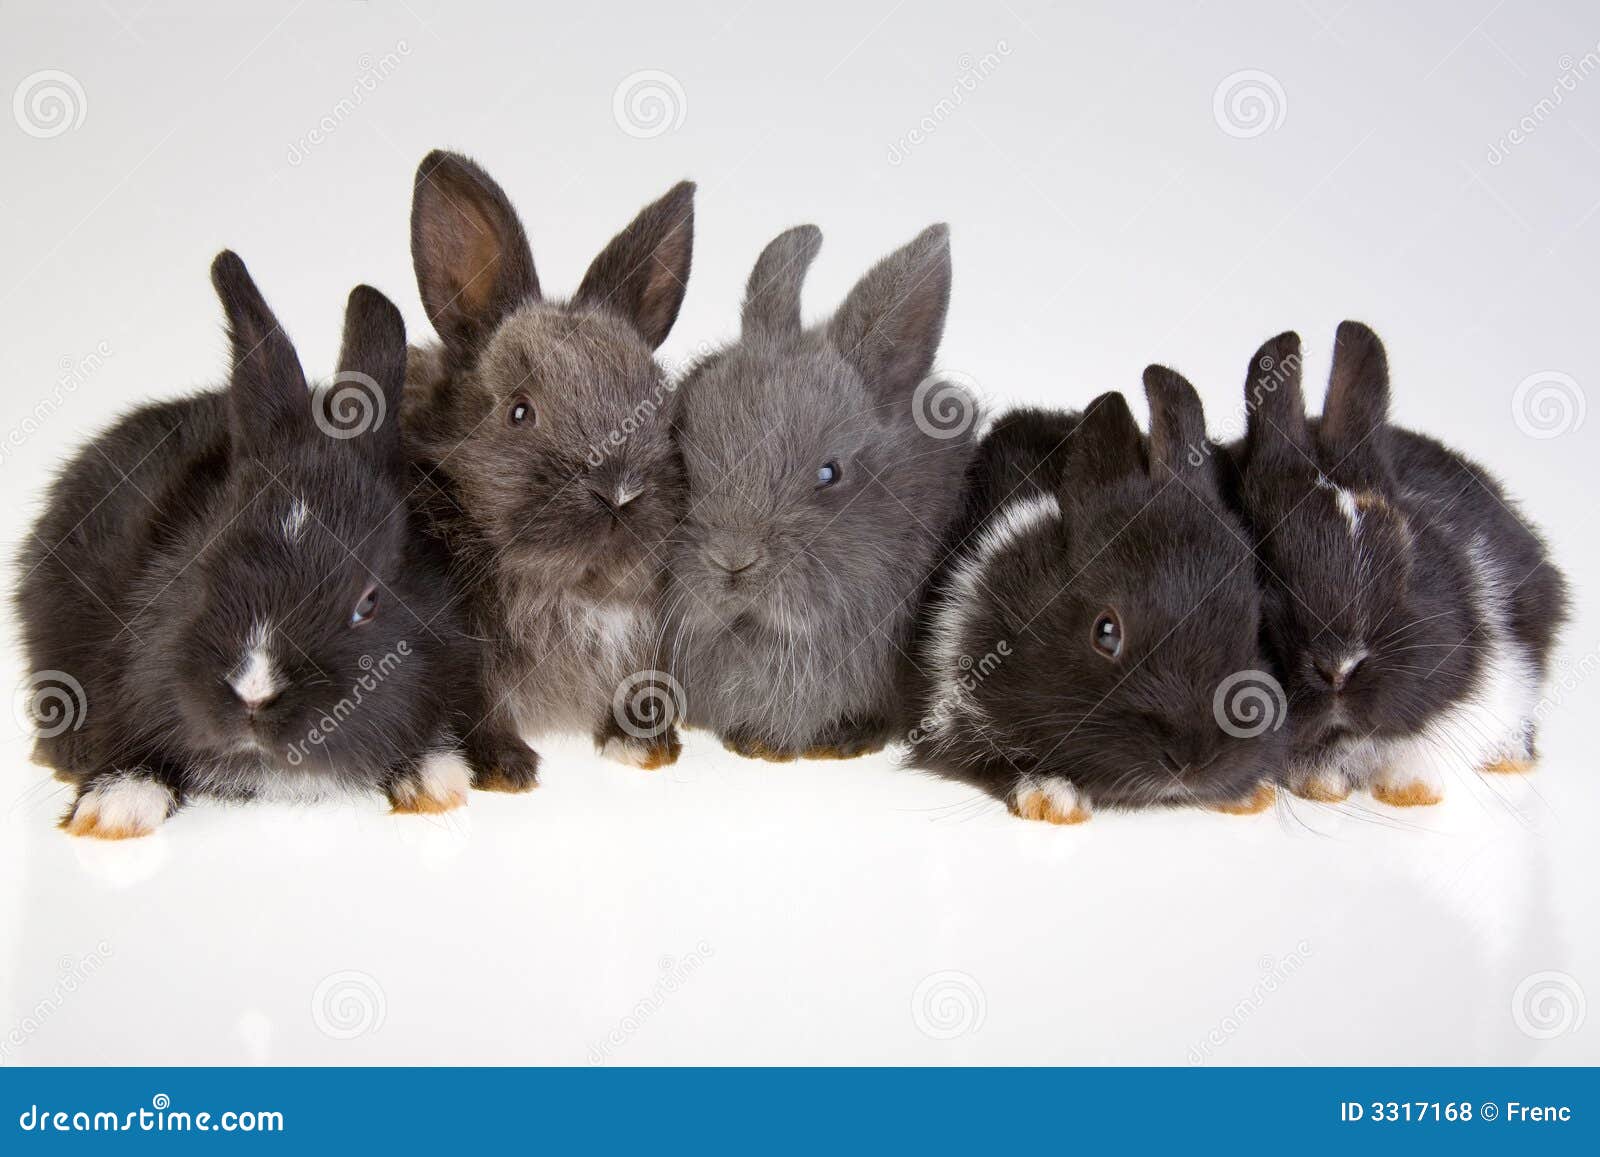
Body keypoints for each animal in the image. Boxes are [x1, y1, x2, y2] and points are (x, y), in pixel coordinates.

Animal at [402, 151, 694, 769]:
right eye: (519, 412)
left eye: (663, 408)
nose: (619, 492)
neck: (571, 589)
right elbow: (478, 707)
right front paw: (506, 769)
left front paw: (644, 745)